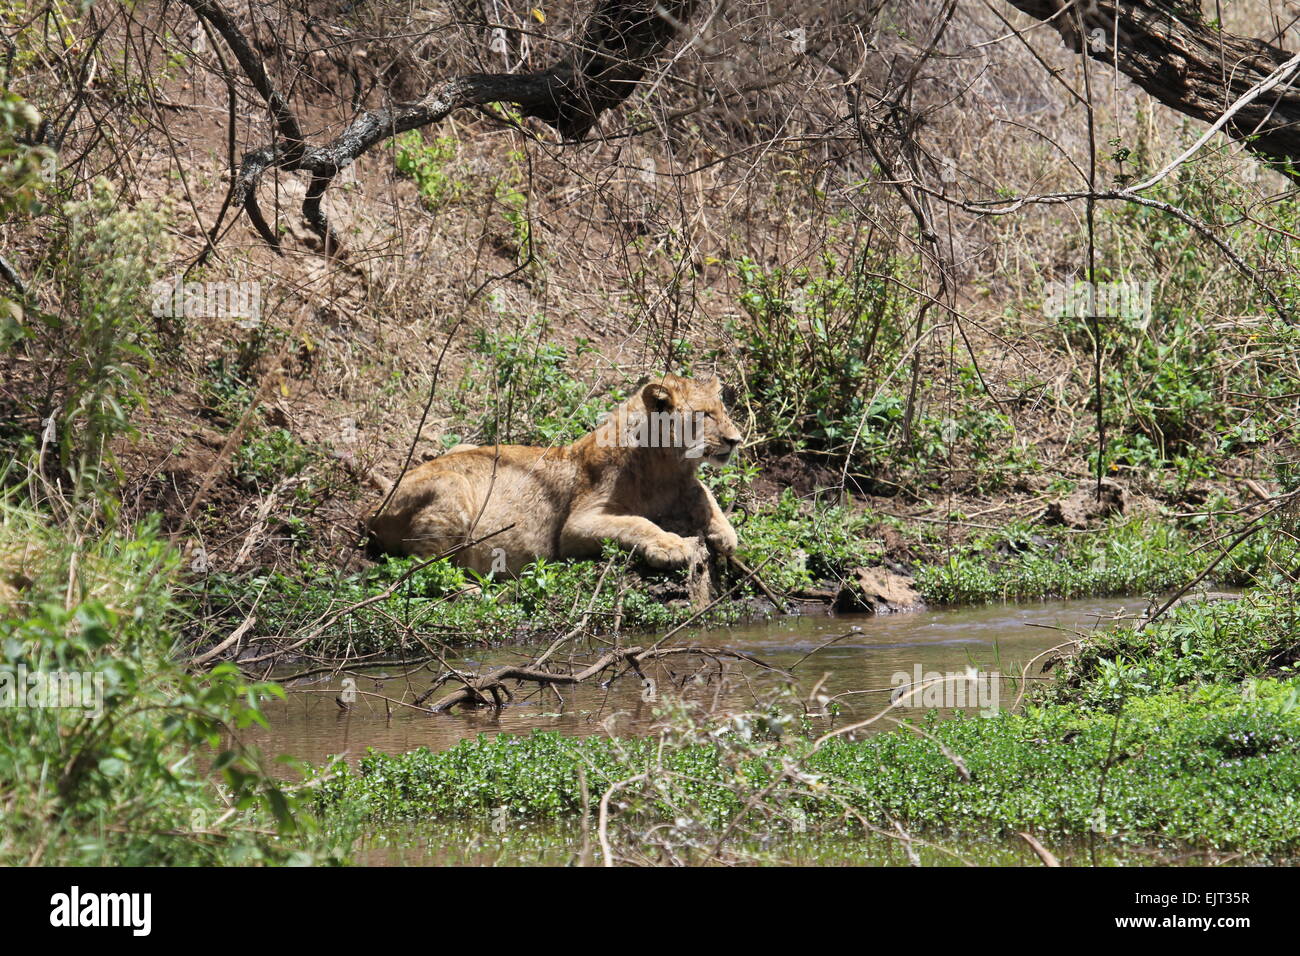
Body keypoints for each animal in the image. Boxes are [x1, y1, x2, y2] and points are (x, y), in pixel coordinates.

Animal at [365, 374, 744, 574]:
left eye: (723, 411)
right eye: (705, 415)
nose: (736, 440)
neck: (666, 465)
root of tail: (375, 509)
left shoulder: (684, 484)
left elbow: (705, 494)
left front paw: (726, 534)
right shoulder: (576, 526)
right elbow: (637, 522)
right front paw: (672, 545)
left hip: (460, 448)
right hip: (453, 484)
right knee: (421, 567)